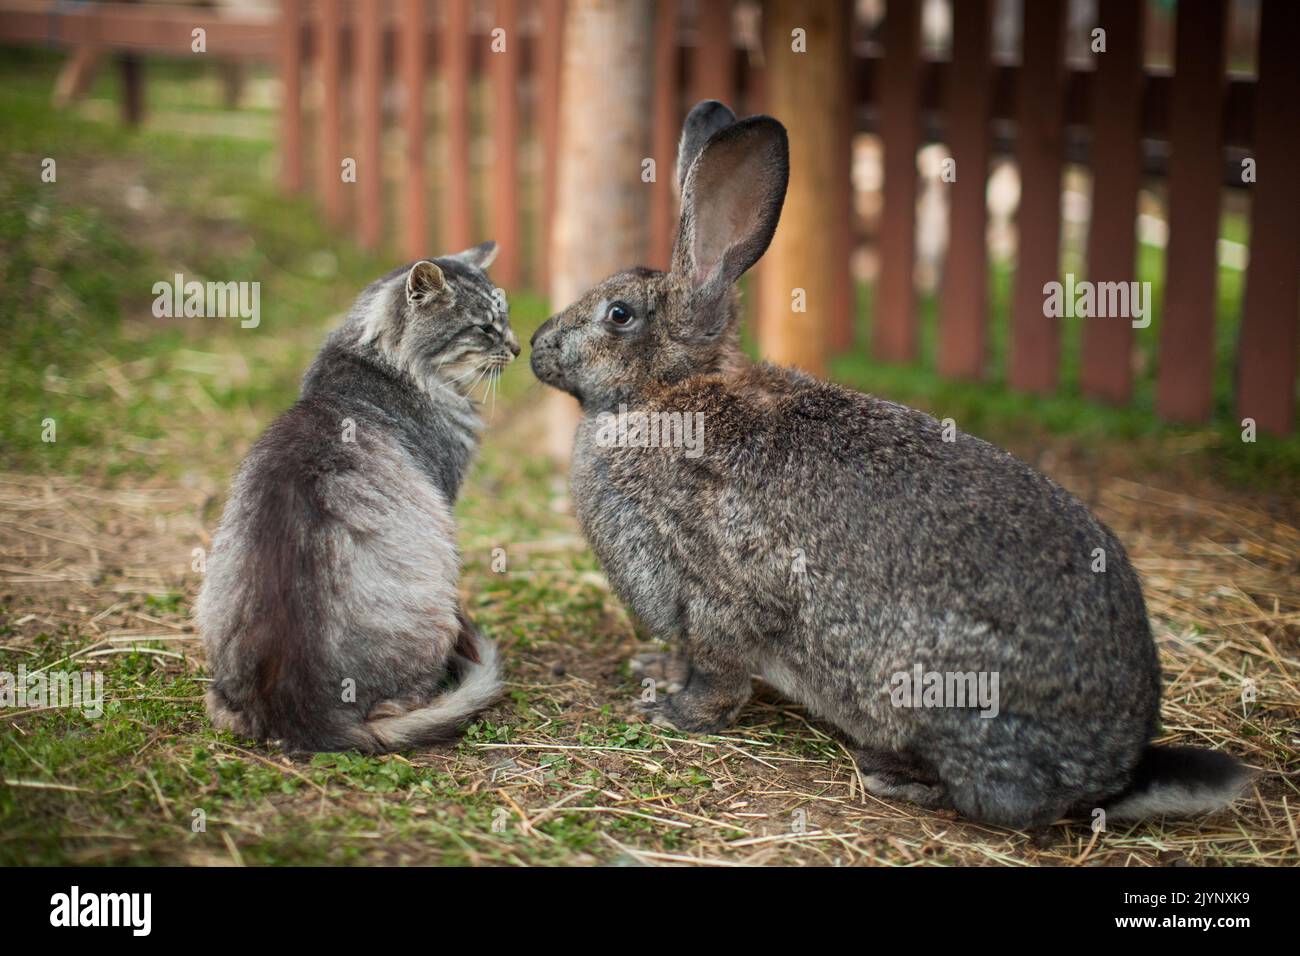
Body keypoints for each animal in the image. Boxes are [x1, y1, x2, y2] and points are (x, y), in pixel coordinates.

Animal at [529, 100, 1249, 828]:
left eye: (618, 315)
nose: (537, 347)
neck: (666, 395)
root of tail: (1114, 769)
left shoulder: (717, 600)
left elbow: (718, 676)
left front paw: (672, 711)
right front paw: (655, 670)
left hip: (942, 689)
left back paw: (895, 776)